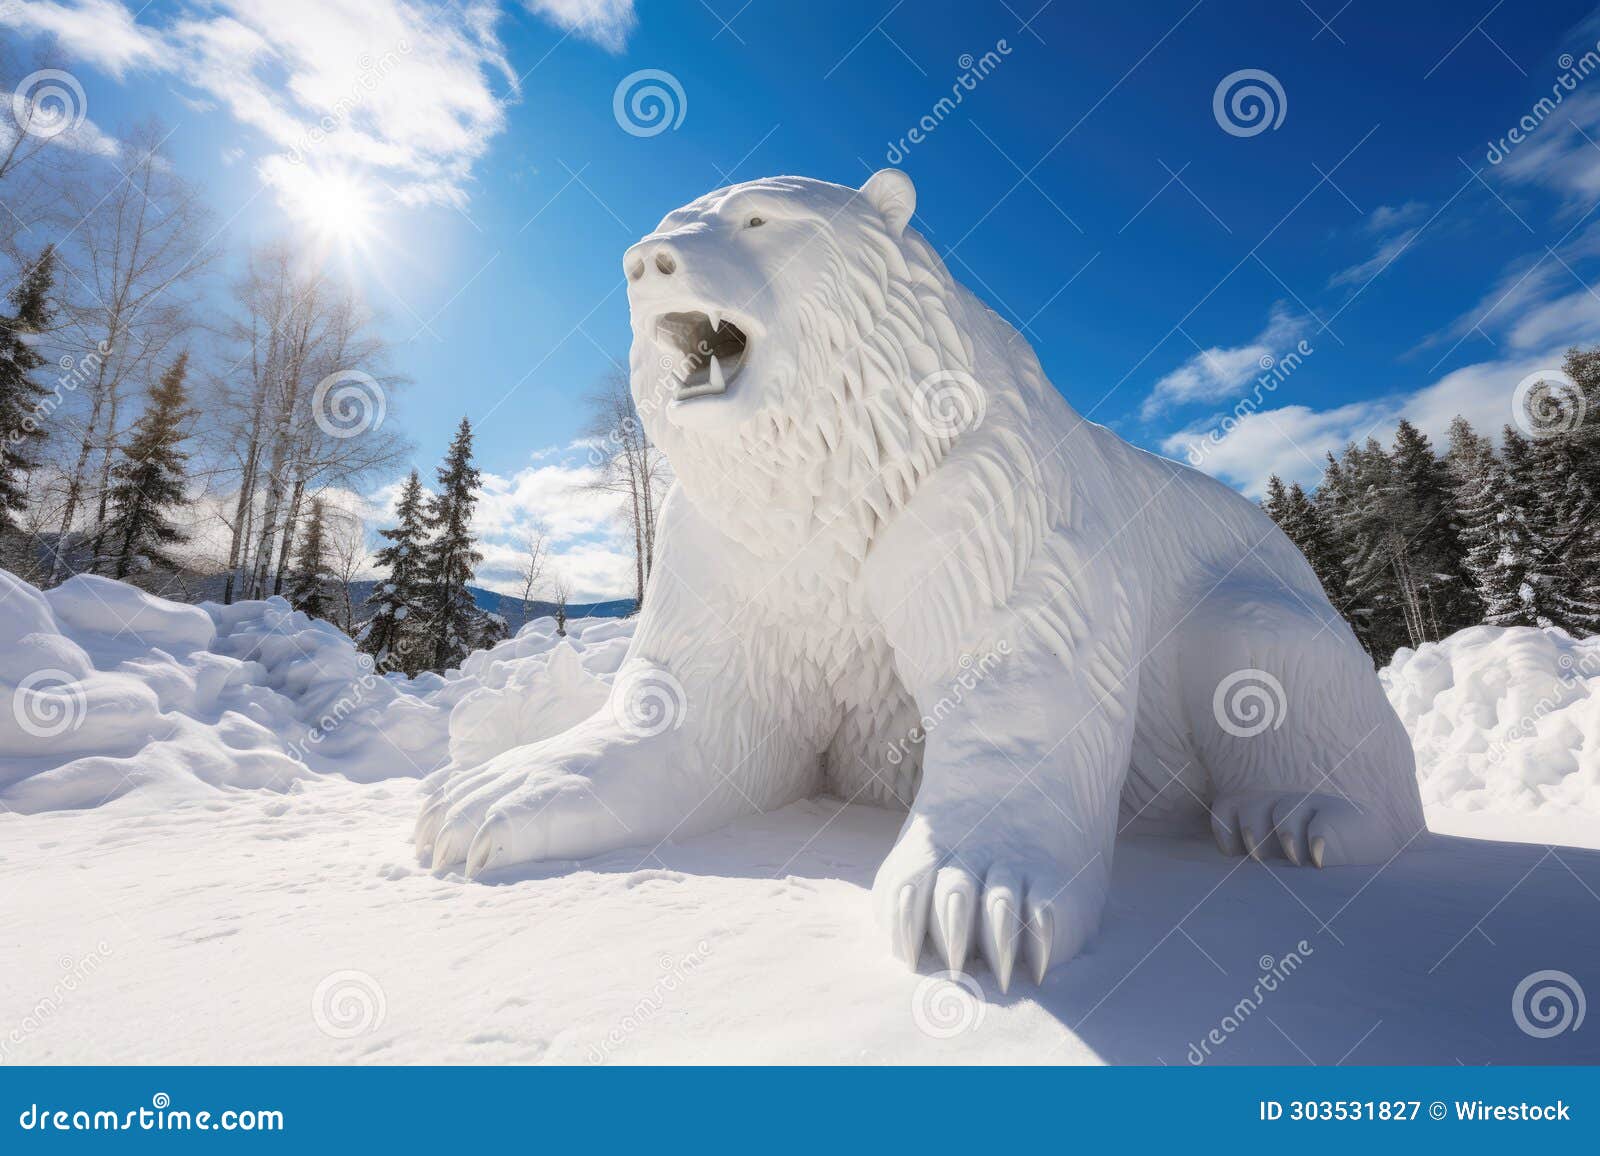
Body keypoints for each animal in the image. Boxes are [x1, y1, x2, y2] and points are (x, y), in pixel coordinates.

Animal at [415, 169, 1424, 989]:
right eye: (670, 217)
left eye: (758, 218)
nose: (644, 261)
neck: (838, 474)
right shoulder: (732, 546)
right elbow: (700, 713)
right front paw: (478, 800)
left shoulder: (982, 492)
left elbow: (1020, 671)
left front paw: (972, 900)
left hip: (1246, 581)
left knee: (1268, 654)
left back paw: (1296, 815)